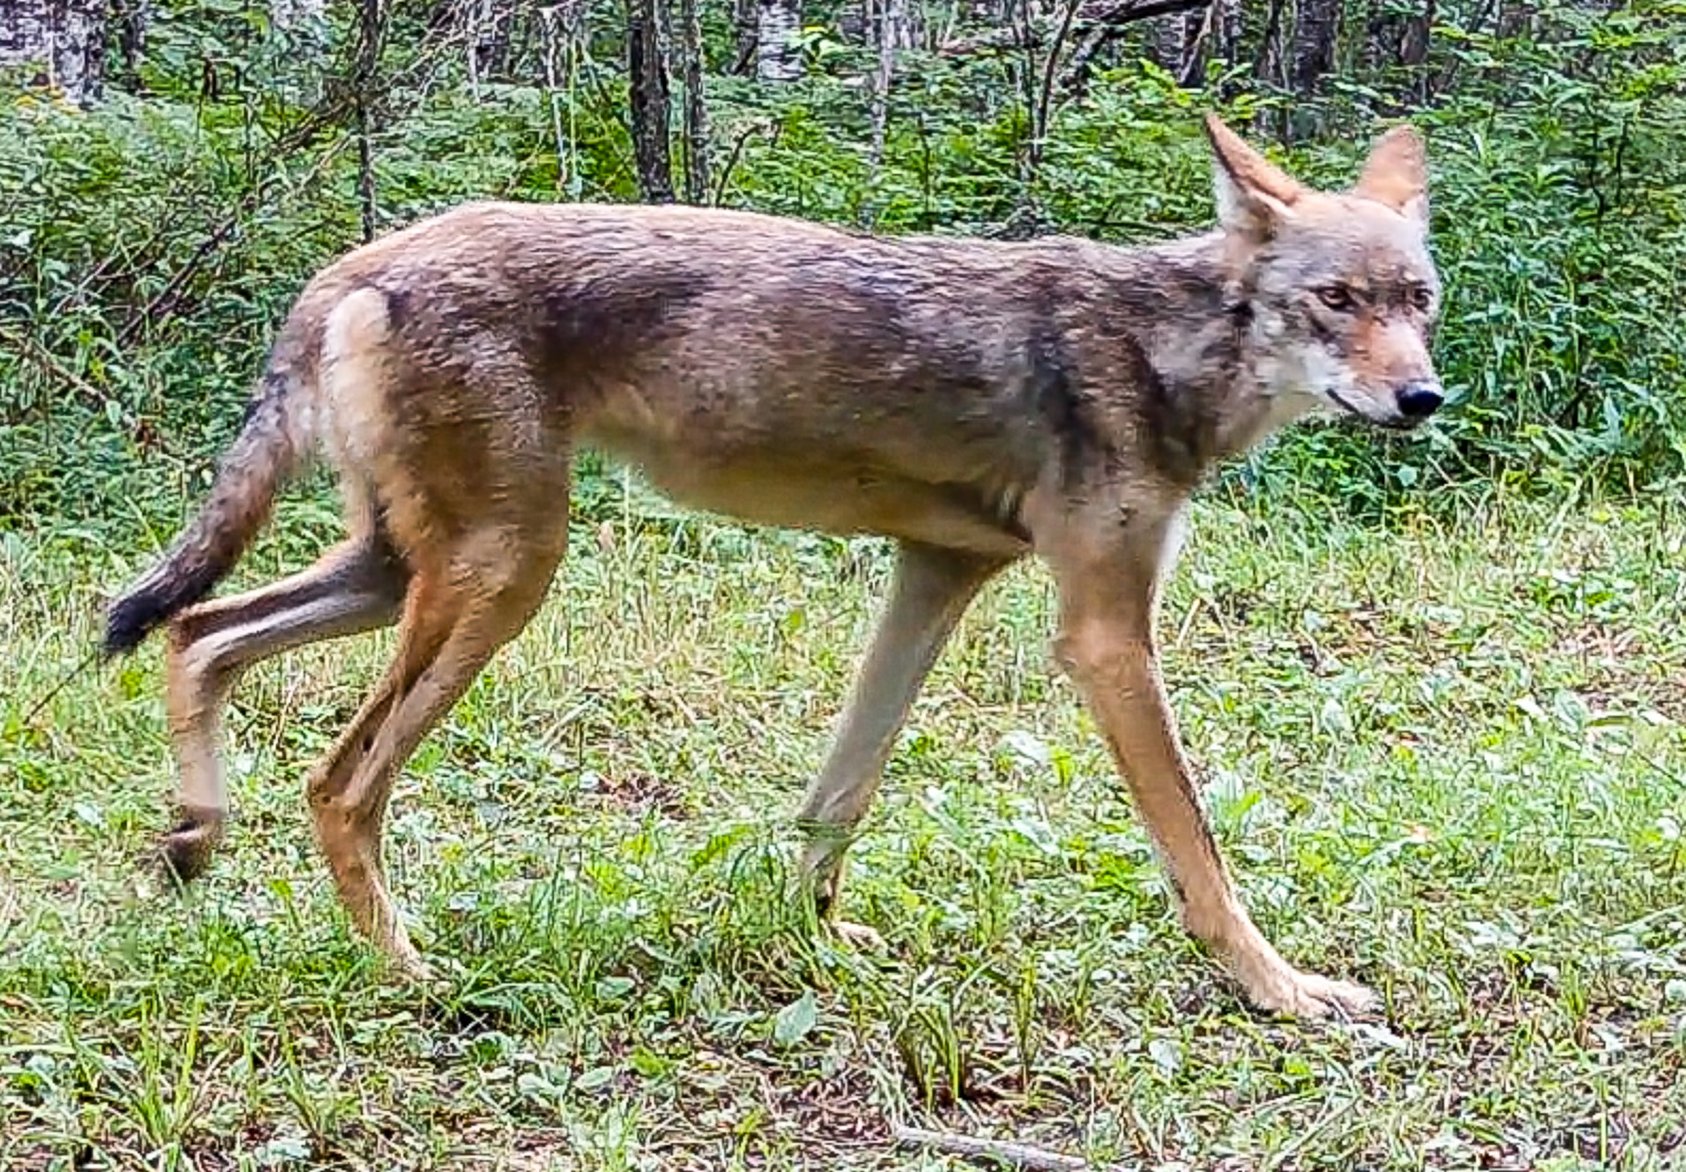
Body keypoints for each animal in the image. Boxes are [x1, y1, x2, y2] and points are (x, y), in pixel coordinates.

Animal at [103, 115, 1442, 1018]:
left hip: (403, 571)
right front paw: (1285, 990)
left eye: (1418, 299)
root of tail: (351, 264)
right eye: (1335, 300)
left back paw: (193, 838)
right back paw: (409, 970)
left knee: (199, 632)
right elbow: (1198, 846)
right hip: (497, 580)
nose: (1424, 398)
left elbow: (838, 794)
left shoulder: (934, 576)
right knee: (335, 780)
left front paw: (815, 944)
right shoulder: (1105, 638)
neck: (1161, 348)